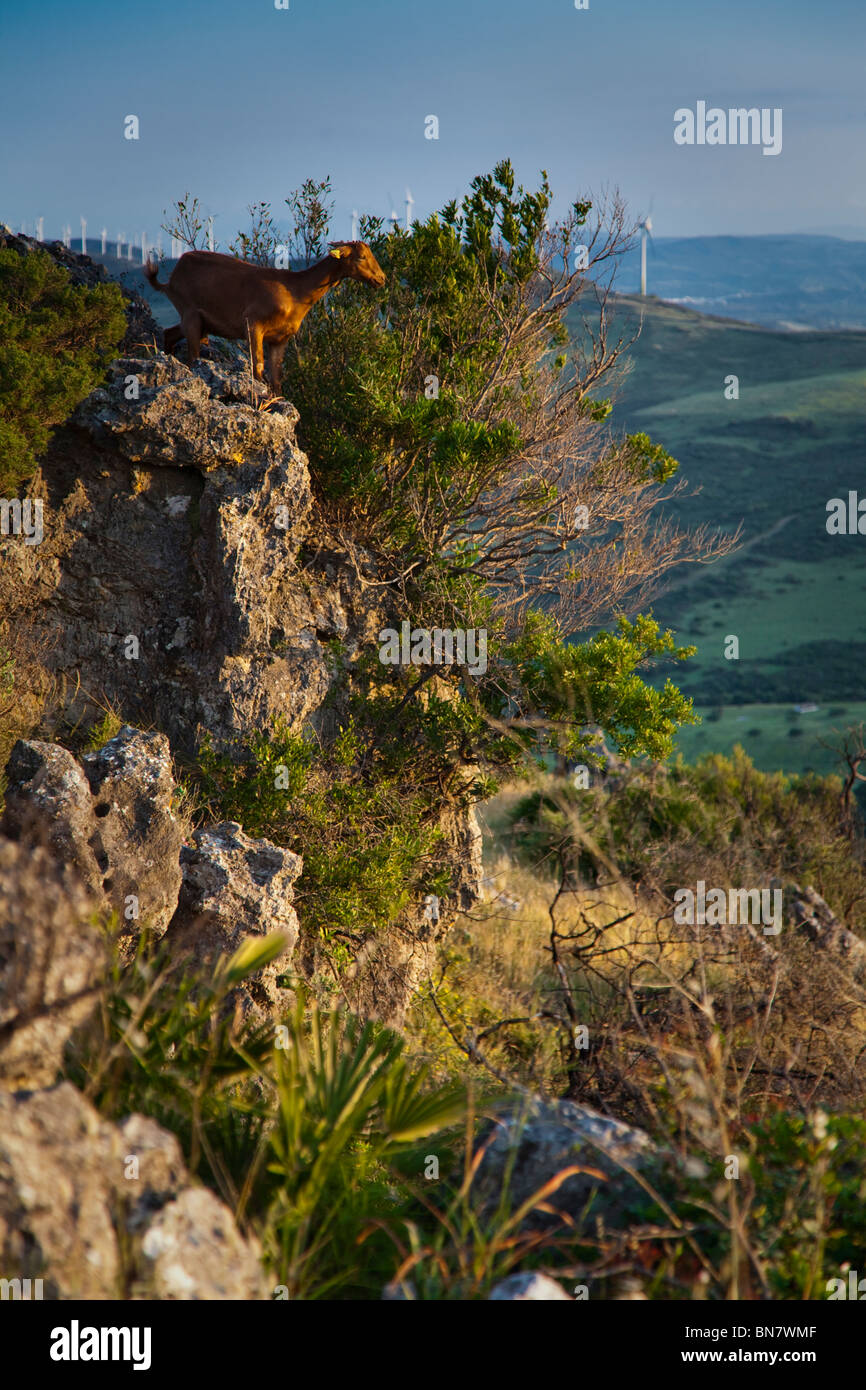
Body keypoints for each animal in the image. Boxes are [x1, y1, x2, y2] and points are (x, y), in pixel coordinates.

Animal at [144, 241, 386, 392]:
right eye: (361, 257)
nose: (381, 278)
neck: (295, 292)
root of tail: (170, 281)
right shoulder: (253, 324)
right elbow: (258, 366)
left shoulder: (280, 338)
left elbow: (277, 376)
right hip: (191, 314)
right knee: (192, 356)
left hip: (196, 320)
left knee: (170, 333)